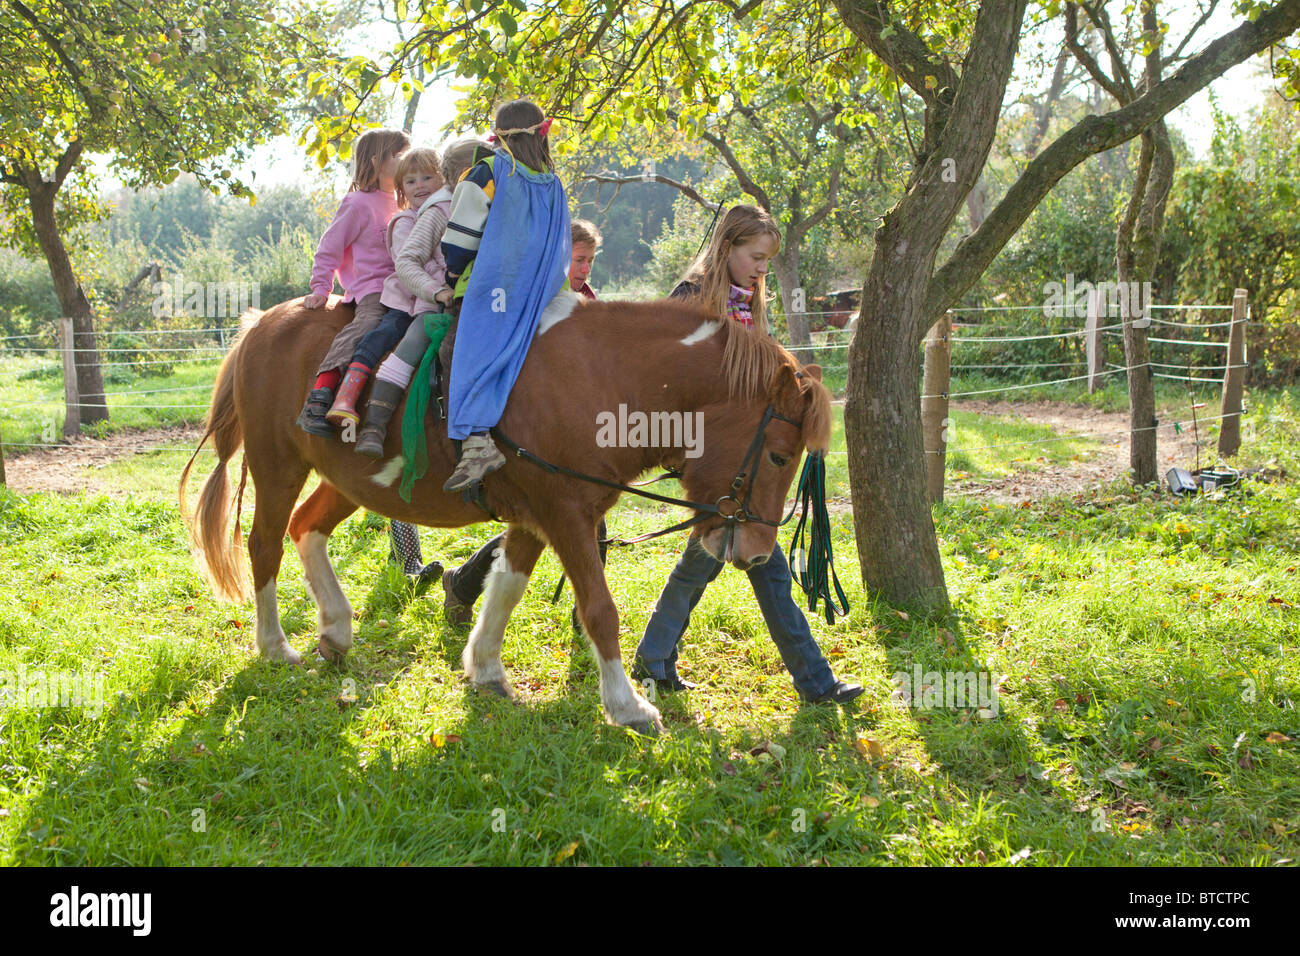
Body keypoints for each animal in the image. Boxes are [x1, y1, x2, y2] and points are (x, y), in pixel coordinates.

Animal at [179, 293, 833, 733]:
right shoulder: (566, 515)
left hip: (352, 478)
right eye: (779, 453)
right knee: (264, 543)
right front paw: (628, 704)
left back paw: (336, 627)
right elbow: (600, 610)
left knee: (306, 527)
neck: (597, 376)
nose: (758, 553)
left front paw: (486, 668)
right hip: (278, 463)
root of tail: (260, 323)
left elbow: (507, 587)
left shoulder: (536, 517)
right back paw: (274, 645)